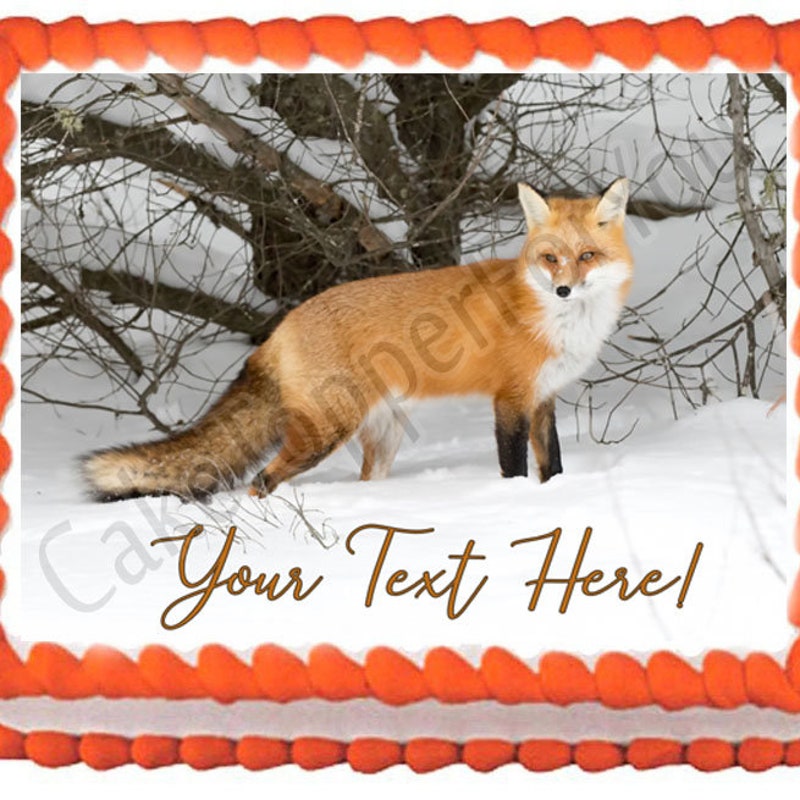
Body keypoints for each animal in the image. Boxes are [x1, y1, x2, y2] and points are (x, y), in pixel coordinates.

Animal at [82, 178, 633, 501]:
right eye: (550, 258)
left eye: (587, 256)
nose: (563, 289)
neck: (557, 321)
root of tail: (281, 327)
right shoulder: (510, 399)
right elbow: (514, 469)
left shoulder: (543, 398)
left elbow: (553, 463)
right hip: (325, 432)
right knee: (261, 481)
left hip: (382, 438)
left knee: (362, 481)